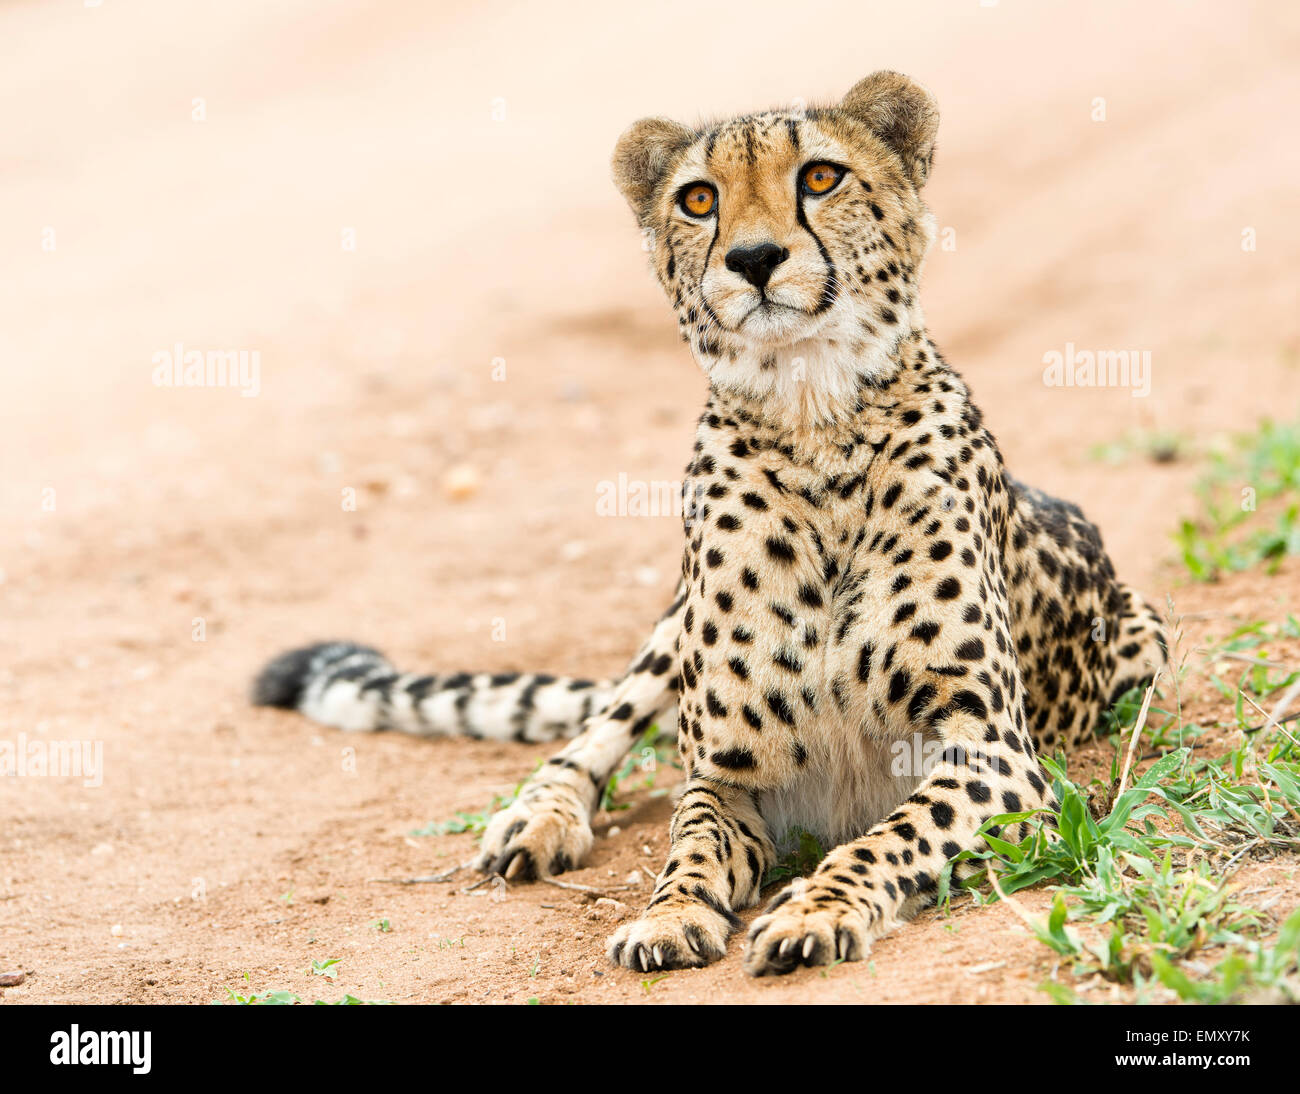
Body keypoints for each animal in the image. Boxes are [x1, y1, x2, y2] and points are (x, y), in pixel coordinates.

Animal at [253, 71, 1166, 977]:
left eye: (821, 177)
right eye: (699, 198)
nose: (754, 259)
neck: (813, 422)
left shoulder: (993, 753)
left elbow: (890, 835)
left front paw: (818, 909)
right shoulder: (725, 769)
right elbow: (689, 838)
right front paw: (671, 915)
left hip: (1147, 632)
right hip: (669, 631)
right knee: (598, 727)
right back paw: (539, 816)